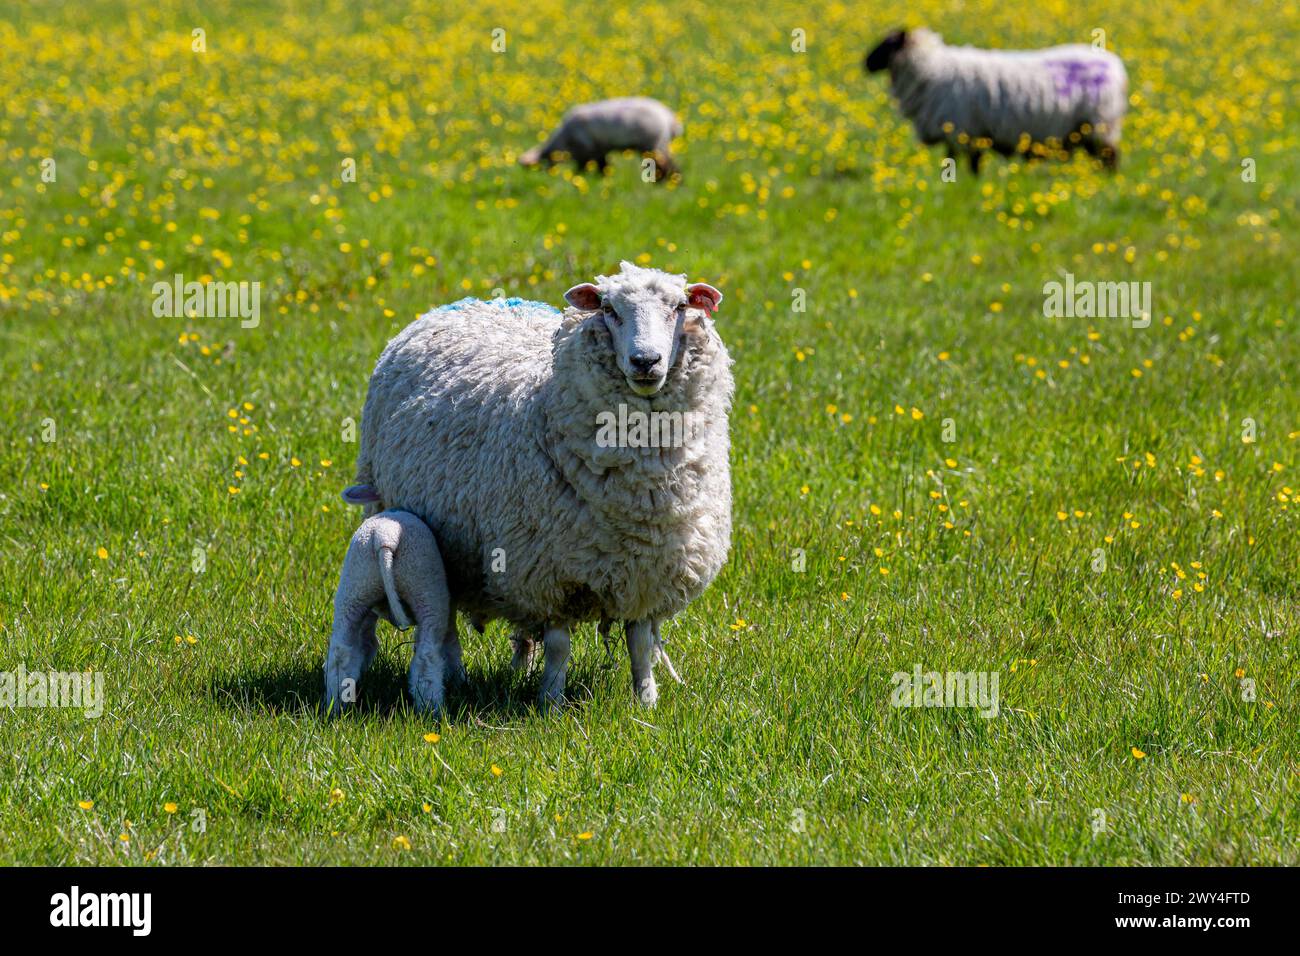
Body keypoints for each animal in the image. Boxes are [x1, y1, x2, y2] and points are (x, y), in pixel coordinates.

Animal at [322, 509, 456, 715]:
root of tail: (385, 536)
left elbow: (366, 643)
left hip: (354, 589)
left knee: (340, 653)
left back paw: (337, 704)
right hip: (427, 592)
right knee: (426, 656)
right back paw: (431, 709)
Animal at [348, 263, 732, 711]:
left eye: (680, 306)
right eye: (608, 309)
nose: (645, 361)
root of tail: (484, 301)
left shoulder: (646, 574)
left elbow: (638, 643)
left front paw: (646, 700)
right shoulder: (547, 573)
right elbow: (560, 646)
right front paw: (551, 702)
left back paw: (519, 666)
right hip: (440, 550)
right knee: (445, 625)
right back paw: (458, 677)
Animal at [518, 97, 683, 180]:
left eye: (535, 167)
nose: (543, 179)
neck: (563, 142)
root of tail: (671, 120)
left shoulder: (588, 151)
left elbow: (592, 168)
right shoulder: (599, 151)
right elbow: (604, 167)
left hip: (654, 144)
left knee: (667, 166)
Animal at [864, 28, 1128, 172]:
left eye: (888, 44)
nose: (865, 63)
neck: (932, 69)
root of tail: (1115, 66)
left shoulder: (964, 131)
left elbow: (969, 165)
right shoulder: (965, 133)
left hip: (1101, 124)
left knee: (1111, 158)